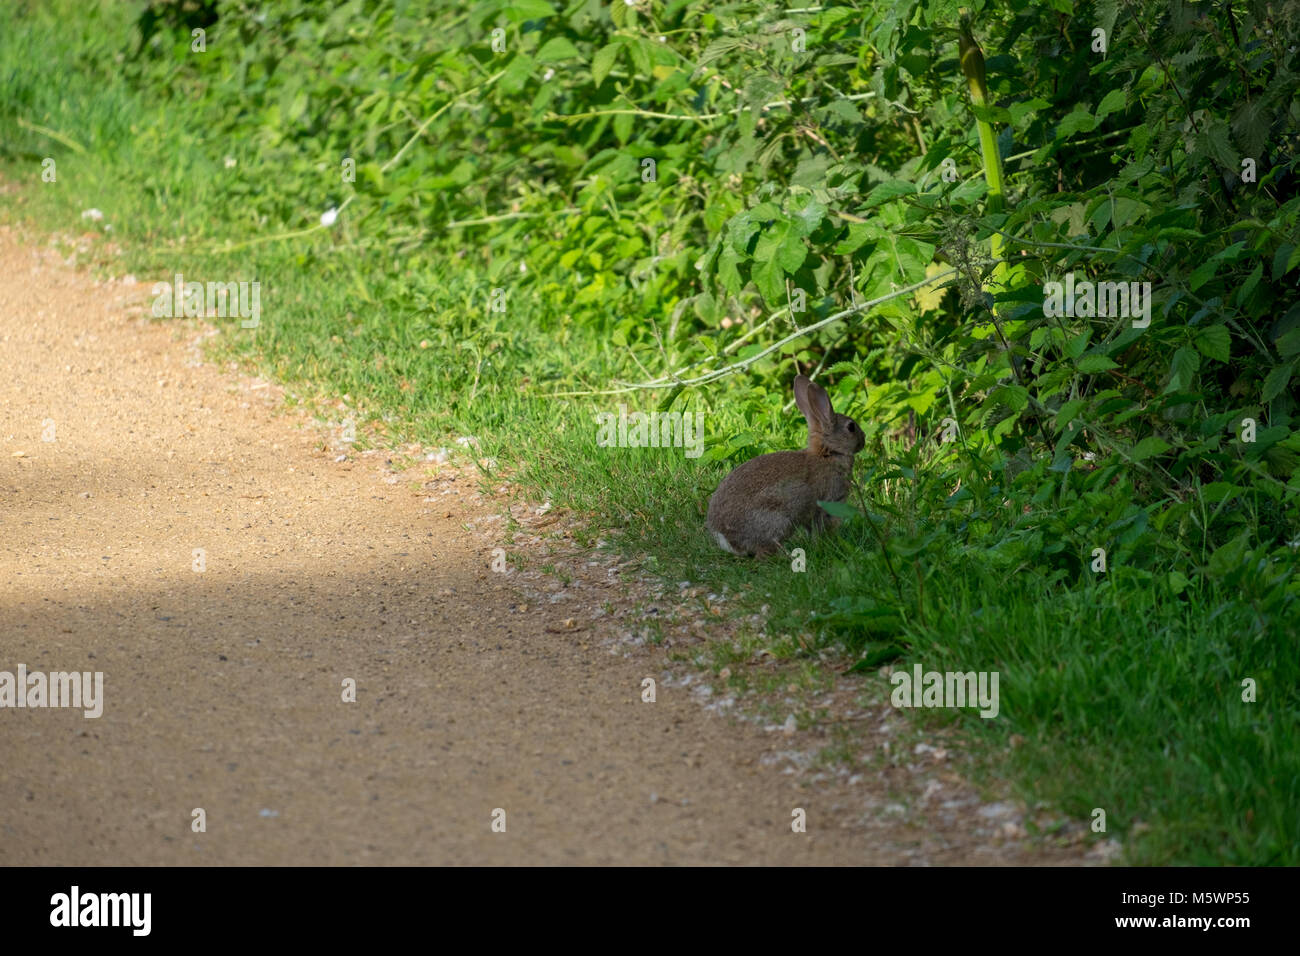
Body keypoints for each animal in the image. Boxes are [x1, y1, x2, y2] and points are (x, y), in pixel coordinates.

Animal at [706, 375, 865, 557]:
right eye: (851, 427)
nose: (864, 440)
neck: (829, 453)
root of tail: (725, 538)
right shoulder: (827, 503)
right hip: (777, 519)